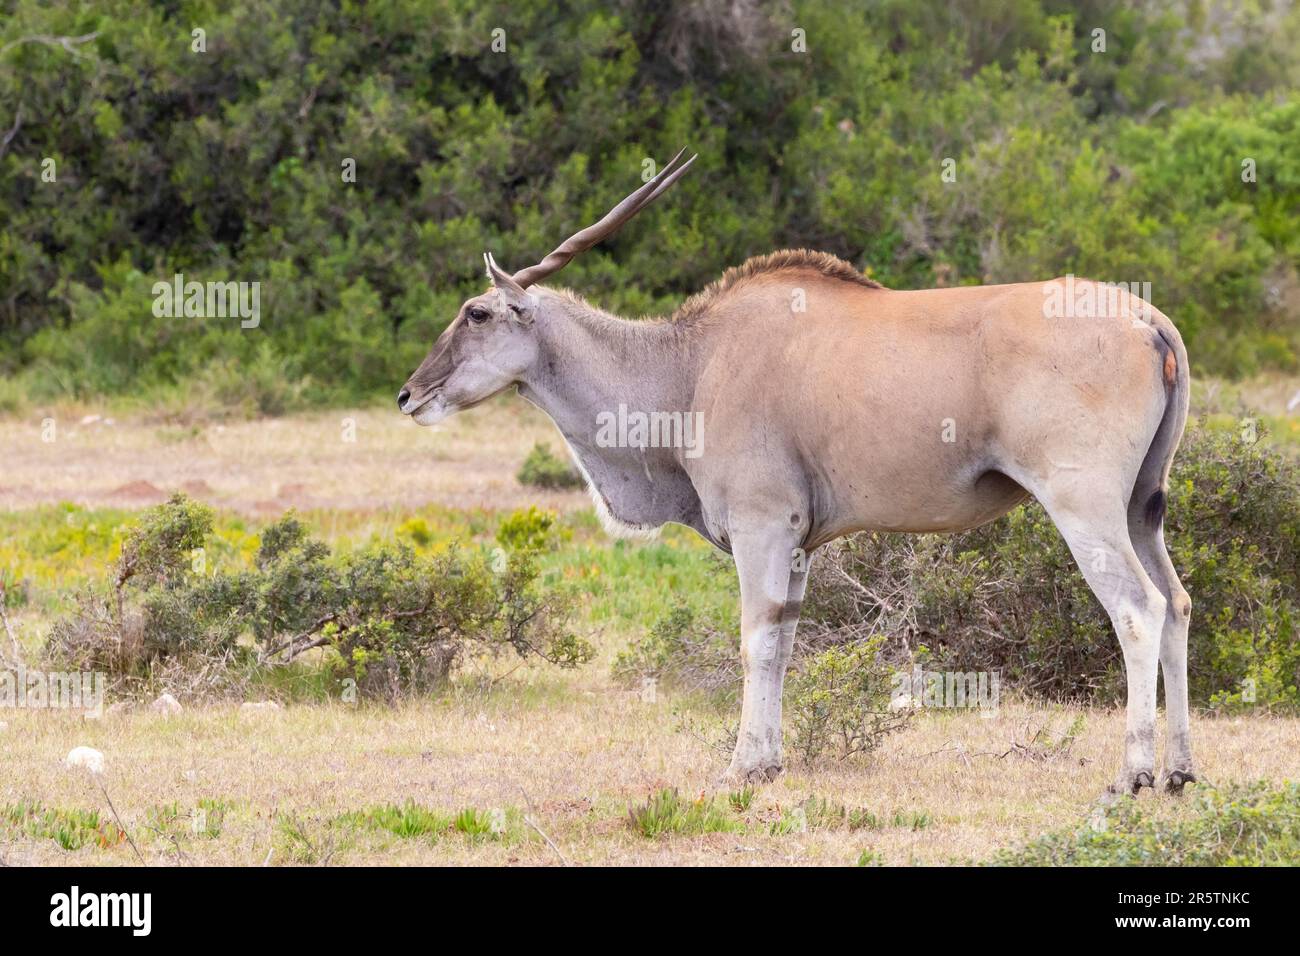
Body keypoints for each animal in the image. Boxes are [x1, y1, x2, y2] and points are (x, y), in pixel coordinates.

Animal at [399, 149, 1195, 797]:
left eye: (475, 313)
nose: (409, 395)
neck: (690, 367)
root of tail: (1150, 320)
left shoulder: (762, 527)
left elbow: (755, 638)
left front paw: (741, 768)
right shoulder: (801, 545)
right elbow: (783, 642)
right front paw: (770, 762)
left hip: (1083, 505)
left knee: (1138, 608)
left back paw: (1132, 774)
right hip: (1139, 508)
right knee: (1179, 604)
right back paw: (1181, 772)